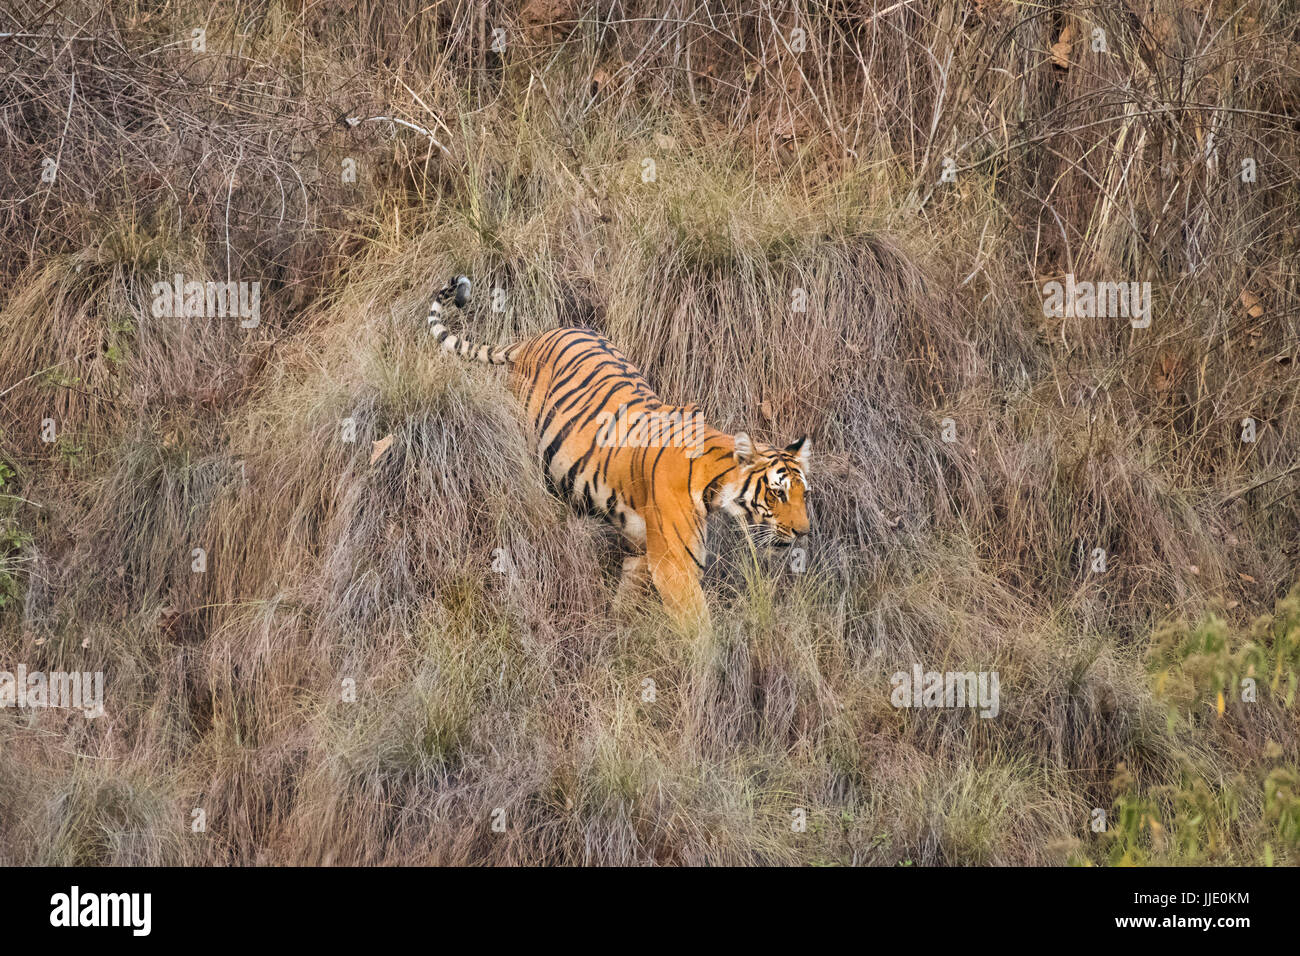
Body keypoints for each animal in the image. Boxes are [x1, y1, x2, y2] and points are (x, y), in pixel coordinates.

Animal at [425, 274, 811, 631]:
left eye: (803, 494)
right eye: (777, 493)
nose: (804, 533)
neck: (713, 487)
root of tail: (532, 340)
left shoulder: (641, 550)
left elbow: (627, 598)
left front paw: (619, 633)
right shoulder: (674, 566)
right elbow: (699, 629)